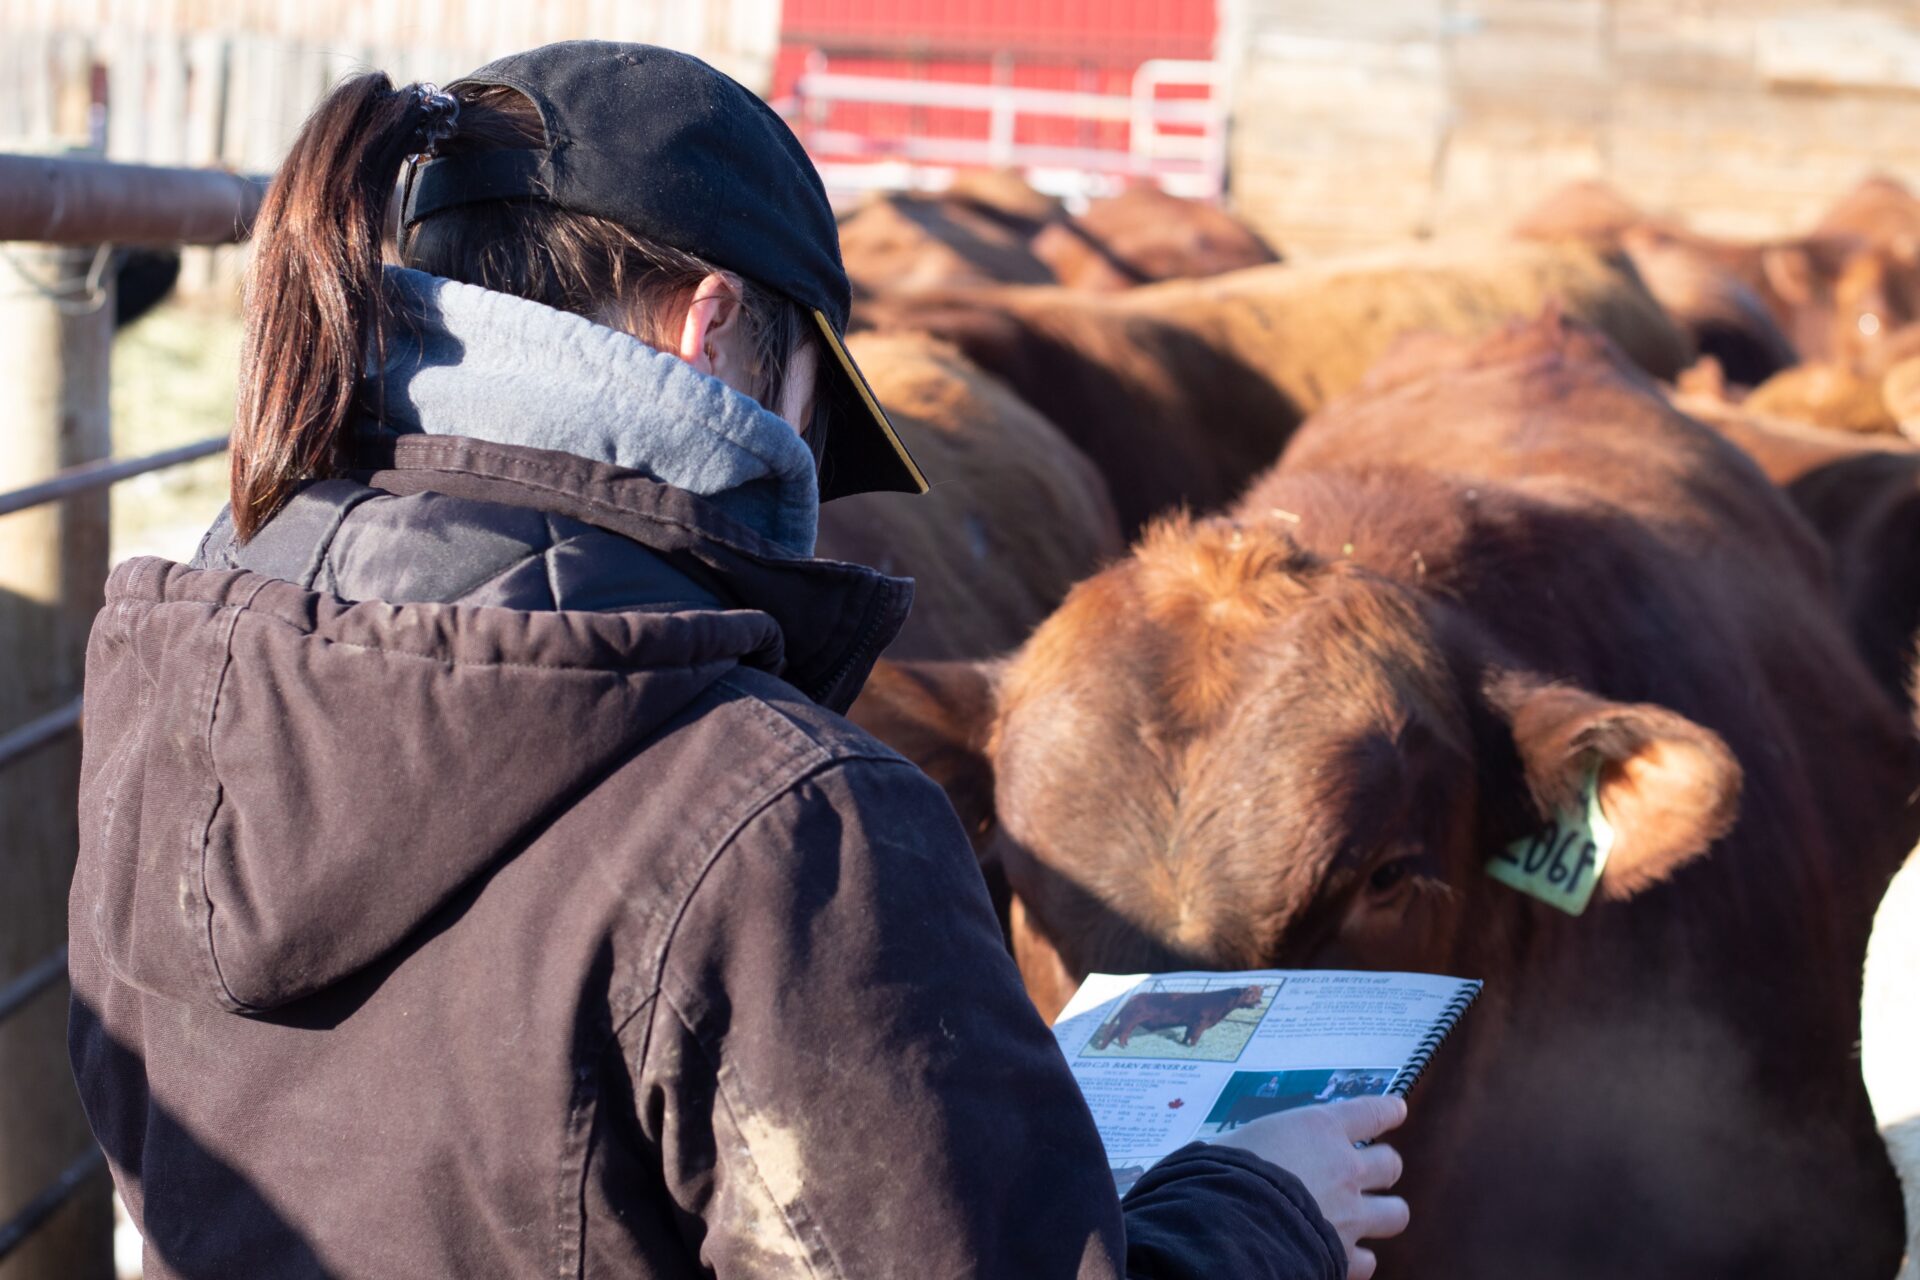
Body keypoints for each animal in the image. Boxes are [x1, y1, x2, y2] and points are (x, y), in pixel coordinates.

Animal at [1089, 985, 1265, 1049]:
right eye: (1250, 994)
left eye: (1259, 993)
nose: (1259, 1002)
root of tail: (1135, 997)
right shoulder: (1200, 1023)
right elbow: (1195, 1036)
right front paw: (1192, 1047)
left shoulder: (1191, 1023)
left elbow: (1187, 1034)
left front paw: (1182, 1043)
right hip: (1129, 1021)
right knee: (1120, 1033)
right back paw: (1122, 1047)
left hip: (1129, 1022)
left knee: (1119, 1033)